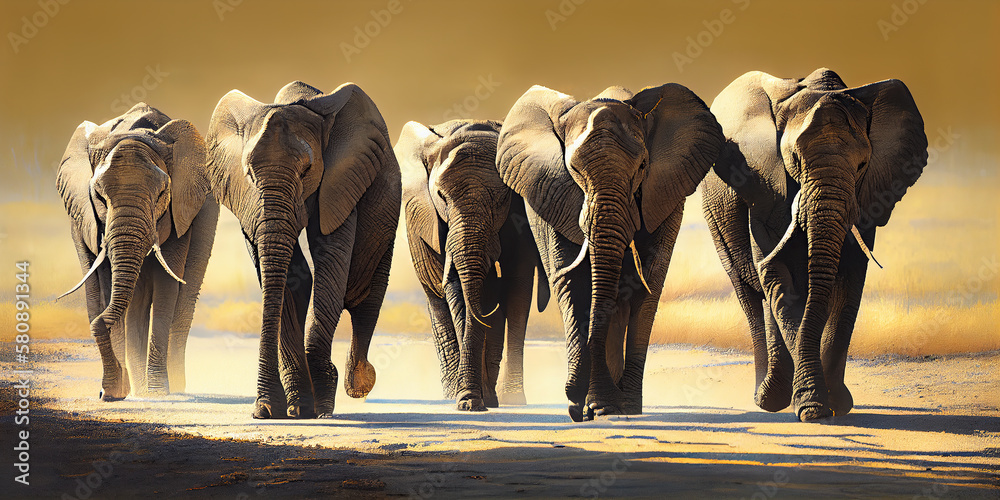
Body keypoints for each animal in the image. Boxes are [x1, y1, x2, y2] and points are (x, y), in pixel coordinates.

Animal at [57, 103, 219, 400]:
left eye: (161, 194)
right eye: (99, 196)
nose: (104, 393)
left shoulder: (179, 212)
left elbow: (167, 287)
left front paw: (158, 393)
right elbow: (109, 285)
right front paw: (118, 392)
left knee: (184, 298)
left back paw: (171, 387)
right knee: (109, 296)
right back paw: (136, 389)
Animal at [205, 81, 401, 419]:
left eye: (306, 170)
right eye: (249, 173)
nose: (258, 412)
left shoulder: (341, 181)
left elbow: (330, 259)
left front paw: (321, 406)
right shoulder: (245, 199)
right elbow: (287, 276)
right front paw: (283, 409)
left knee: (364, 292)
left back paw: (358, 384)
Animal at [396, 119, 548, 410]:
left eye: (502, 199)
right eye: (441, 196)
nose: (471, 403)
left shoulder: (520, 214)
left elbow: (516, 287)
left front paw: (495, 399)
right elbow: (457, 289)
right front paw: (470, 400)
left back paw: (501, 398)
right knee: (437, 301)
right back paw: (452, 394)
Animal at [496, 84, 724, 421]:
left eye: (642, 167)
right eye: (573, 169)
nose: (574, 404)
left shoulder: (665, 194)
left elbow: (649, 286)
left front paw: (617, 406)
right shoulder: (555, 194)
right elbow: (573, 284)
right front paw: (594, 405)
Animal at [701, 68, 927, 421]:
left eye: (862, 165)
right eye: (794, 159)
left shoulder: (867, 196)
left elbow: (850, 281)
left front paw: (835, 405)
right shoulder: (765, 184)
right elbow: (777, 278)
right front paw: (813, 407)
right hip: (715, 217)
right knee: (749, 293)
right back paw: (767, 399)